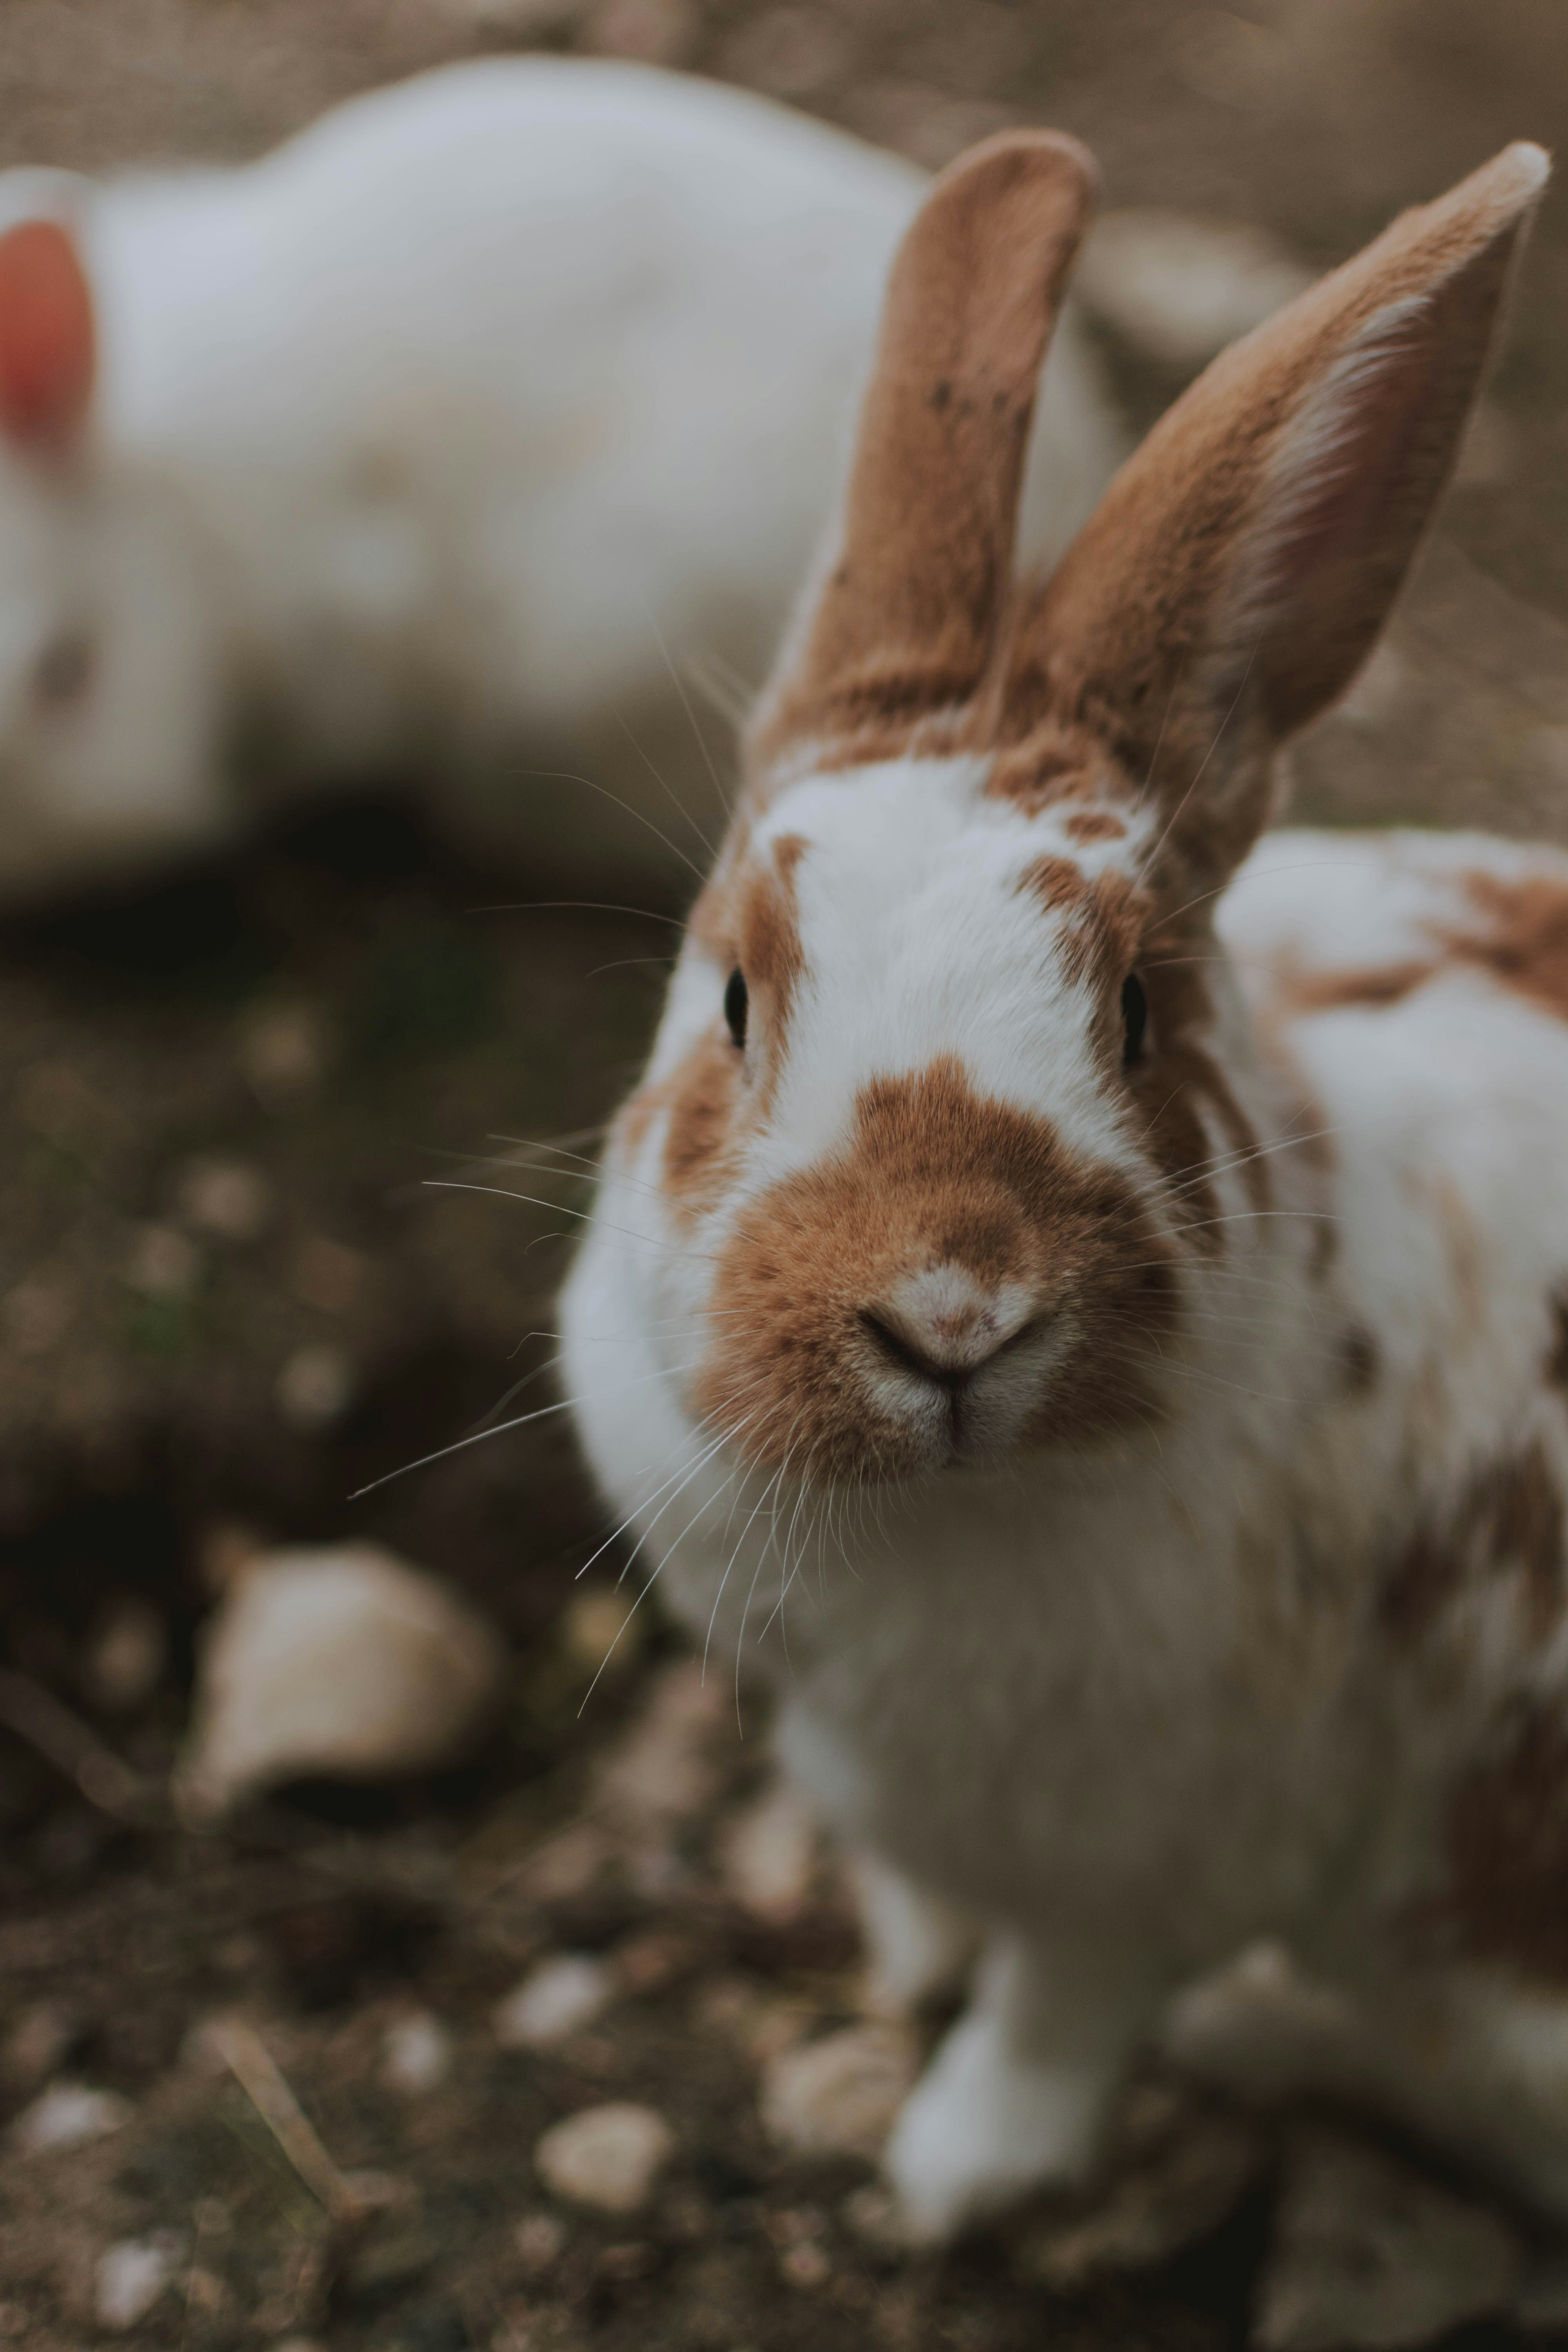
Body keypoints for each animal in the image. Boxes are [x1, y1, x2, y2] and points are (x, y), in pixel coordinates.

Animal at [559, 124, 1568, 2241]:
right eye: (733, 995)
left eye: (1134, 1004)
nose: (949, 1311)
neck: (941, 1517)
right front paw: (905, 1967)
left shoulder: (1158, 1865)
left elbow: (1050, 2016)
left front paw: (948, 2174)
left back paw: (1268, 2039)